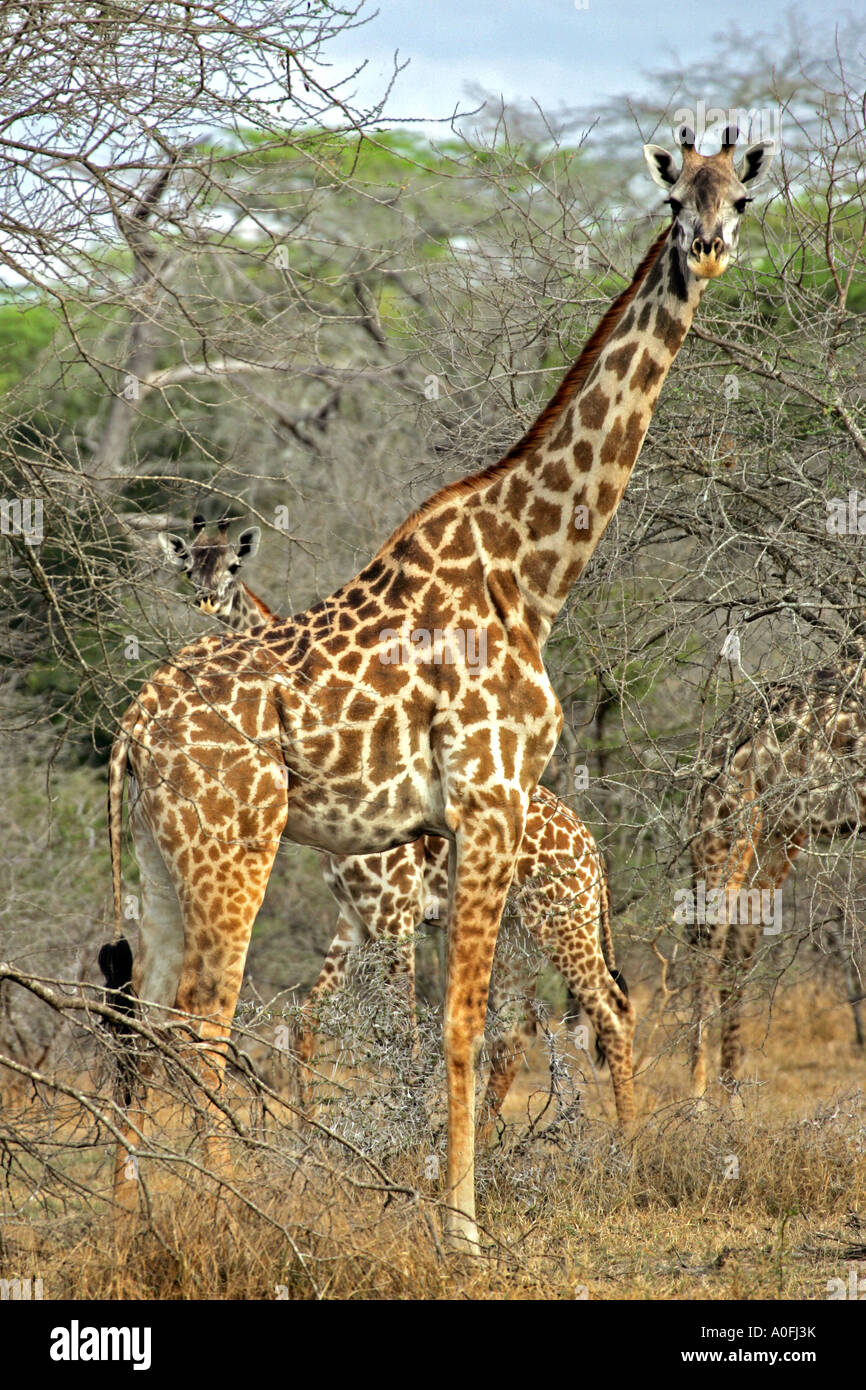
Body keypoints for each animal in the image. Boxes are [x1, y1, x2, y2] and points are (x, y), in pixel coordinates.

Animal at [162, 517, 635, 1132]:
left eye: (232, 565)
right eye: (188, 564)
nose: (205, 599)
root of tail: (593, 855)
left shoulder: (394, 913)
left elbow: (402, 1034)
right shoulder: (354, 919)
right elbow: (306, 1023)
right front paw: (310, 1133)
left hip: (563, 922)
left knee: (610, 1010)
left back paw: (627, 1143)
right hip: (518, 939)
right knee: (515, 1031)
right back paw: (491, 1142)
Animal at [686, 646, 866, 1096]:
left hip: (772, 847)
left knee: (735, 962)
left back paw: (732, 1104)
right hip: (723, 835)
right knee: (704, 961)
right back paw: (695, 1103)